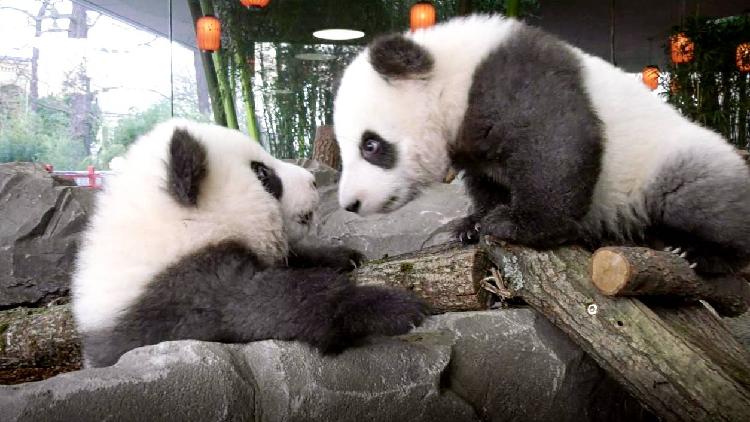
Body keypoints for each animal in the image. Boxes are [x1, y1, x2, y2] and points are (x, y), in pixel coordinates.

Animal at [72, 118, 428, 368]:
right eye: (262, 174)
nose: (313, 181)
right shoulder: (177, 294)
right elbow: (260, 307)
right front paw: (395, 308)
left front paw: (342, 255)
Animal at [333, 14, 750, 278]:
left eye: (370, 145)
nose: (350, 204)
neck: (452, 78)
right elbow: (487, 180)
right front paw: (472, 225)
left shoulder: (518, 80)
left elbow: (558, 144)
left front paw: (515, 224)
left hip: (674, 157)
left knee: (699, 198)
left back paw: (701, 254)